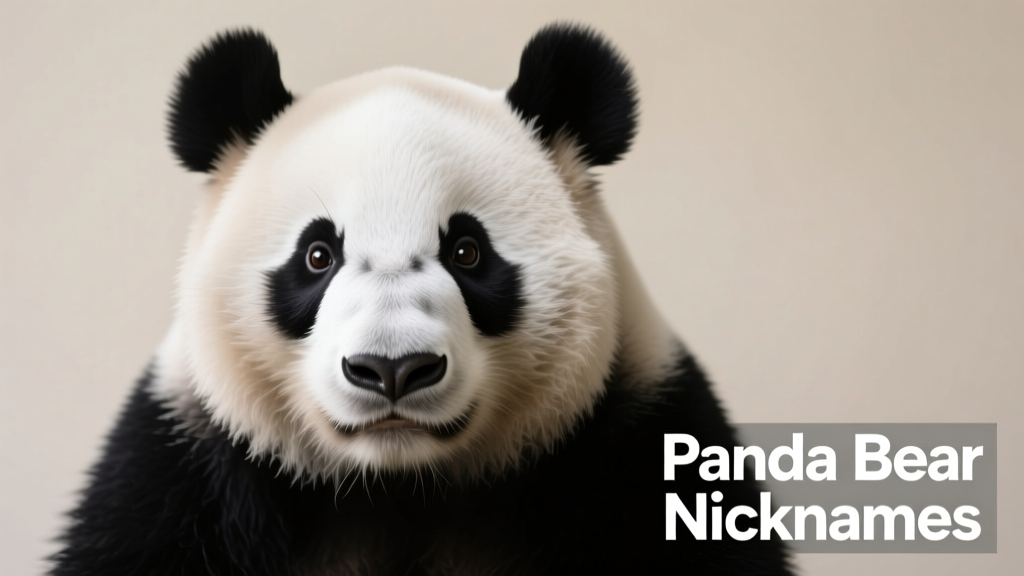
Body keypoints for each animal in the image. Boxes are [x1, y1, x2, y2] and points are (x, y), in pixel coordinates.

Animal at [51, 24, 791, 576]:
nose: (392, 370)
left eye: (467, 251)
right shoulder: (187, 472)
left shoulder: (638, 447)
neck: (400, 488)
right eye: (317, 256)